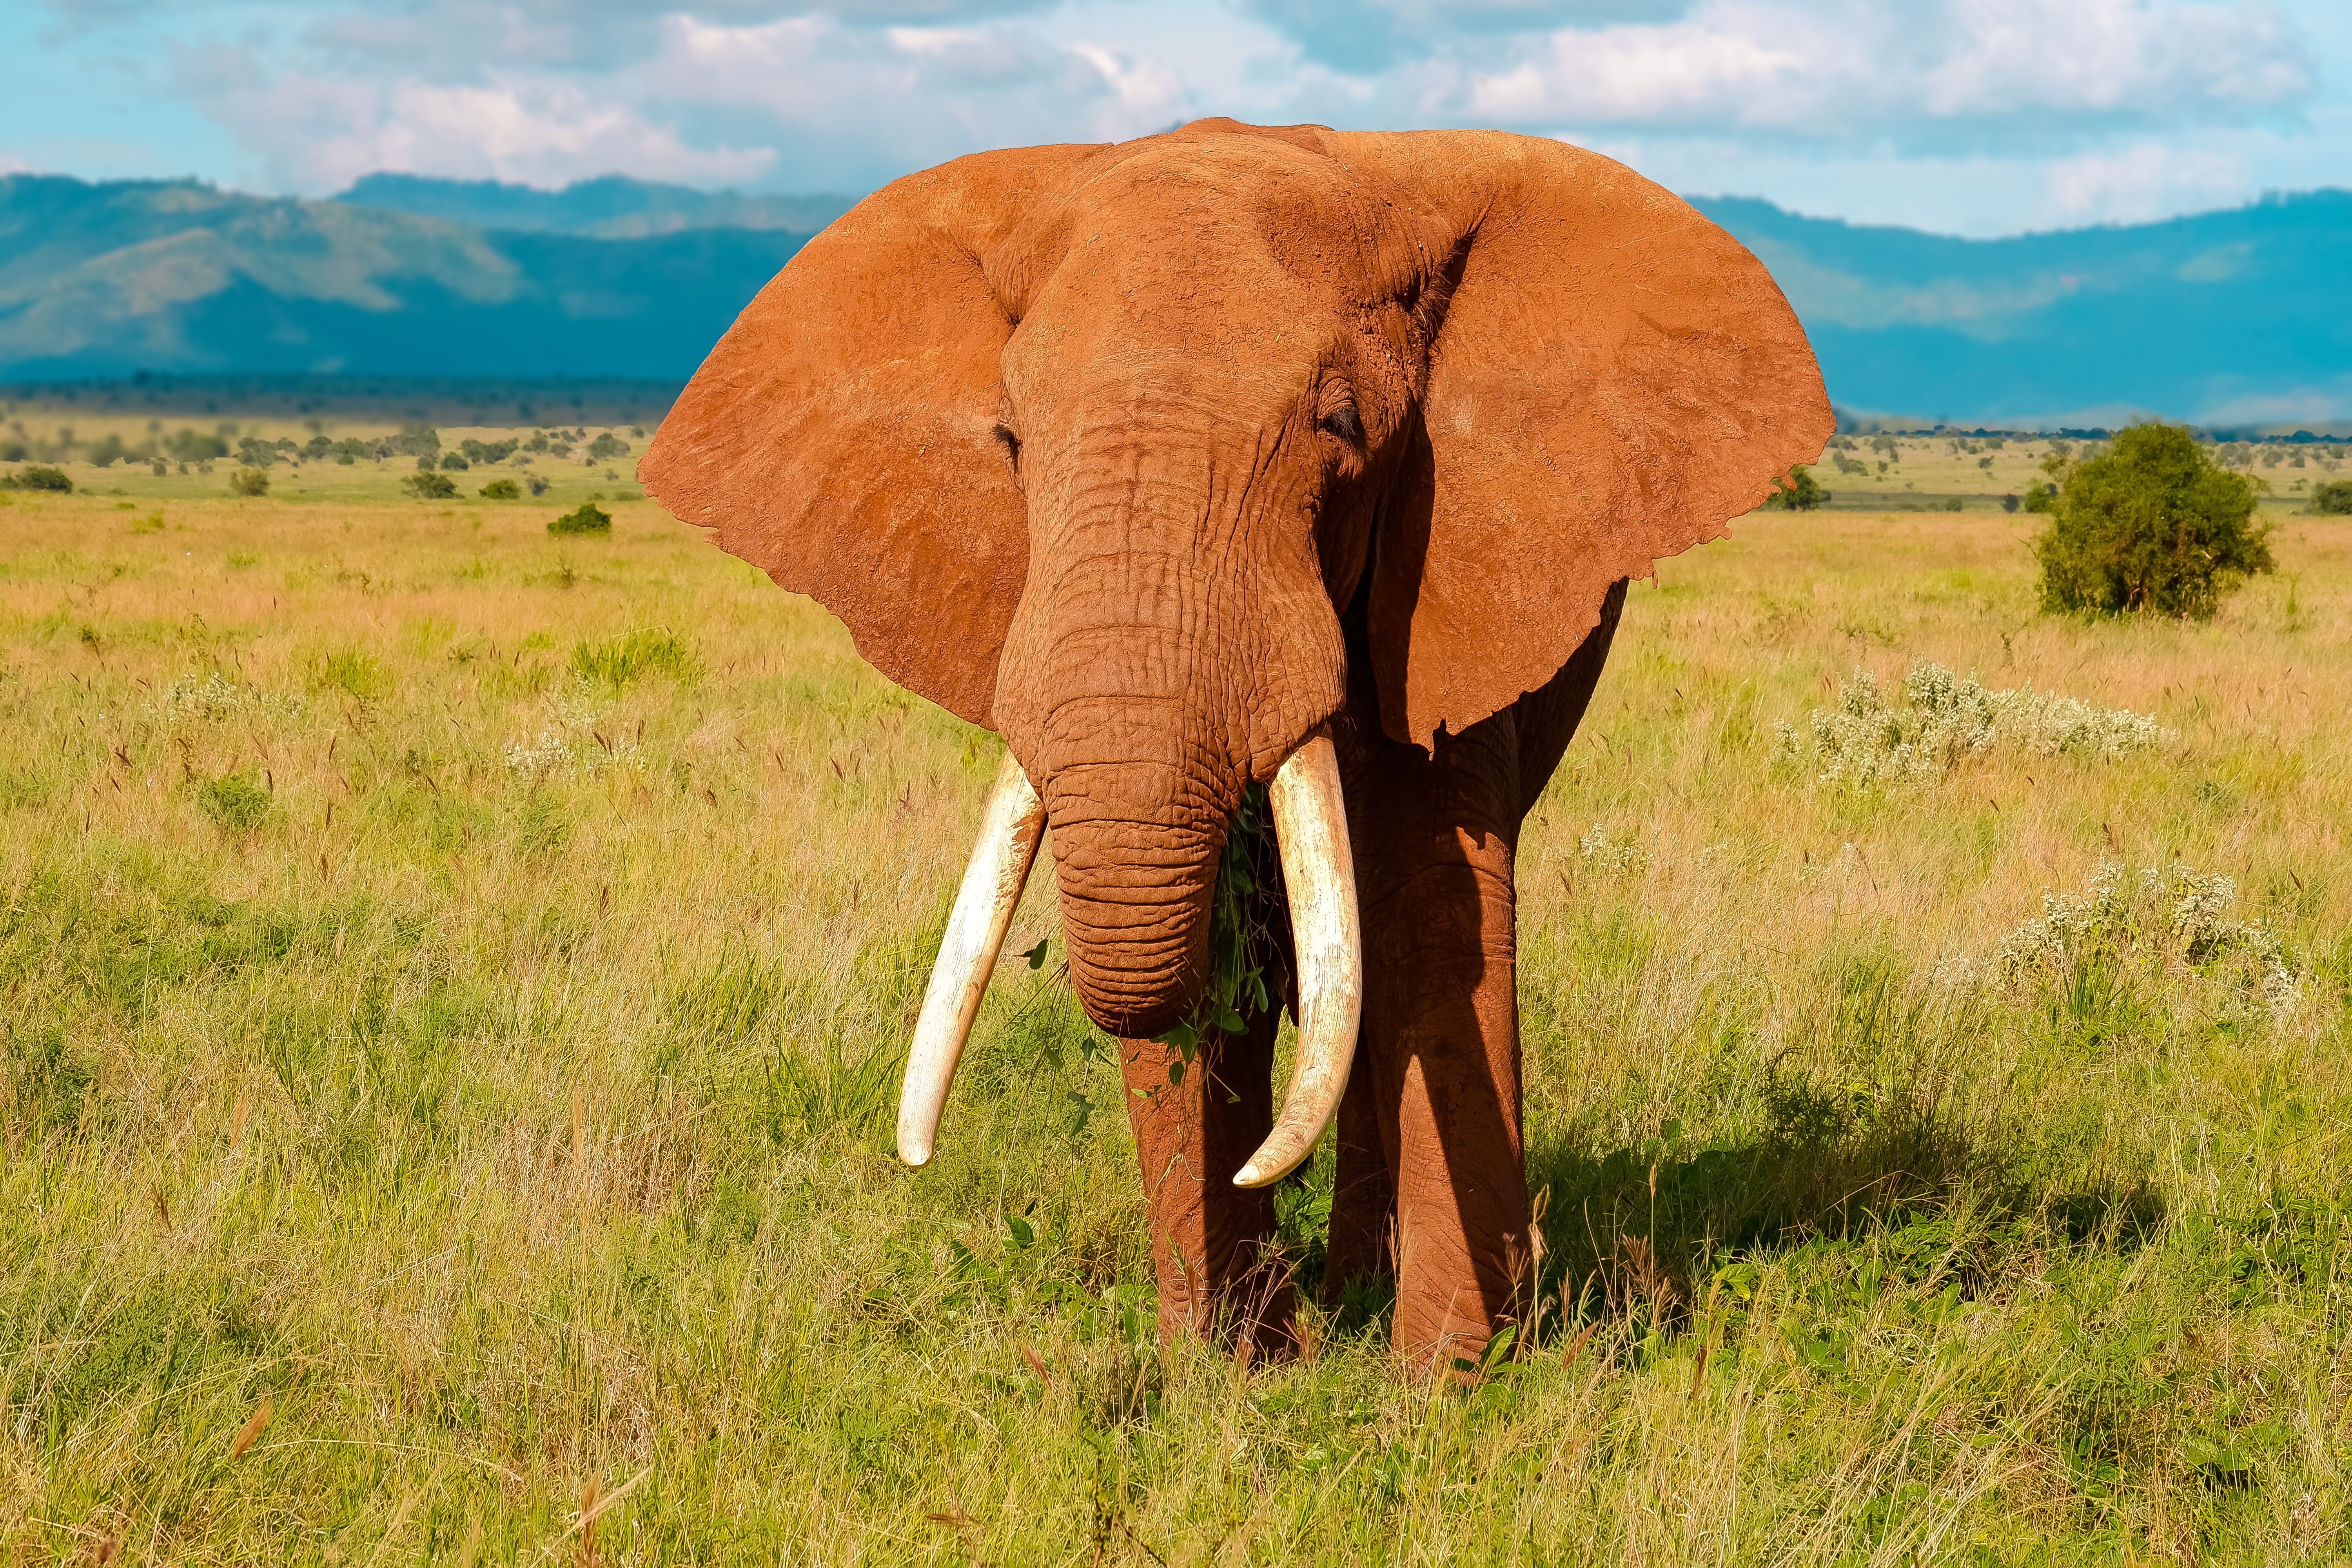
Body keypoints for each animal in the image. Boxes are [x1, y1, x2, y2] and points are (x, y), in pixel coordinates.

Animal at [642, 118, 1830, 1372]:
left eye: (1343, 427)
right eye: (1009, 442)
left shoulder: (1441, 565)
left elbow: (1427, 909)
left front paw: (1450, 1385)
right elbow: (1221, 947)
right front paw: (1226, 1374)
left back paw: (1365, 1285)